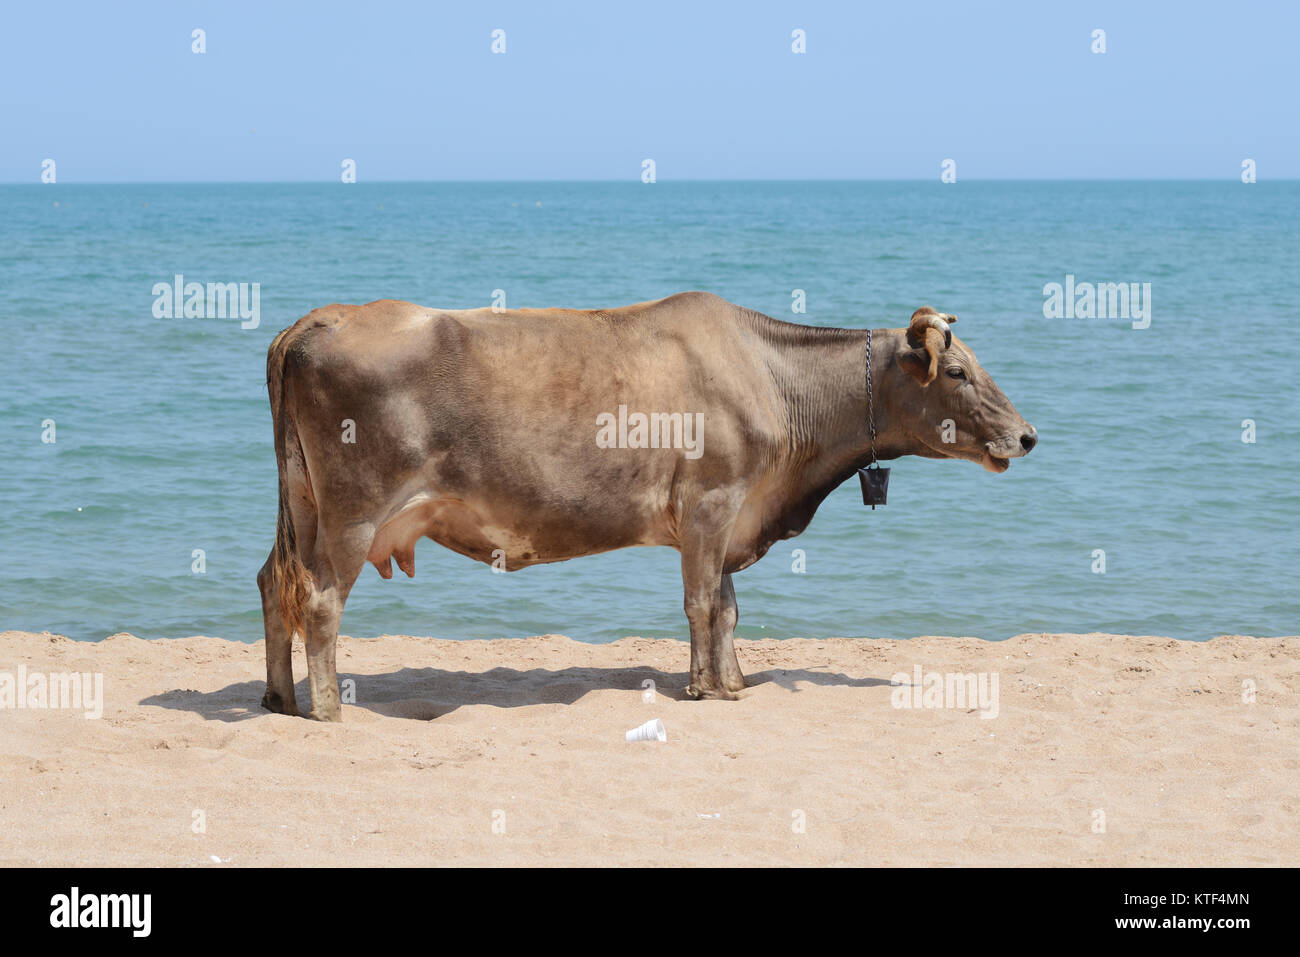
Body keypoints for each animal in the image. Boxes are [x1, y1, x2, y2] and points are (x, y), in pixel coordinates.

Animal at [257, 292, 1036, 720]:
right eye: (957, 370)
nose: (1027, 434)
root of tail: (314, 321)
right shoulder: (711, 503)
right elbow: (701, 603)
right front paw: (702, 687)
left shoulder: (733, 515)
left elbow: (727, 607)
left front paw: (734, 683)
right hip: (354, 511)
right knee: (319, 599)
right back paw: (328, 708)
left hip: (303, 503)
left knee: (273, 584)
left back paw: (281, 698)